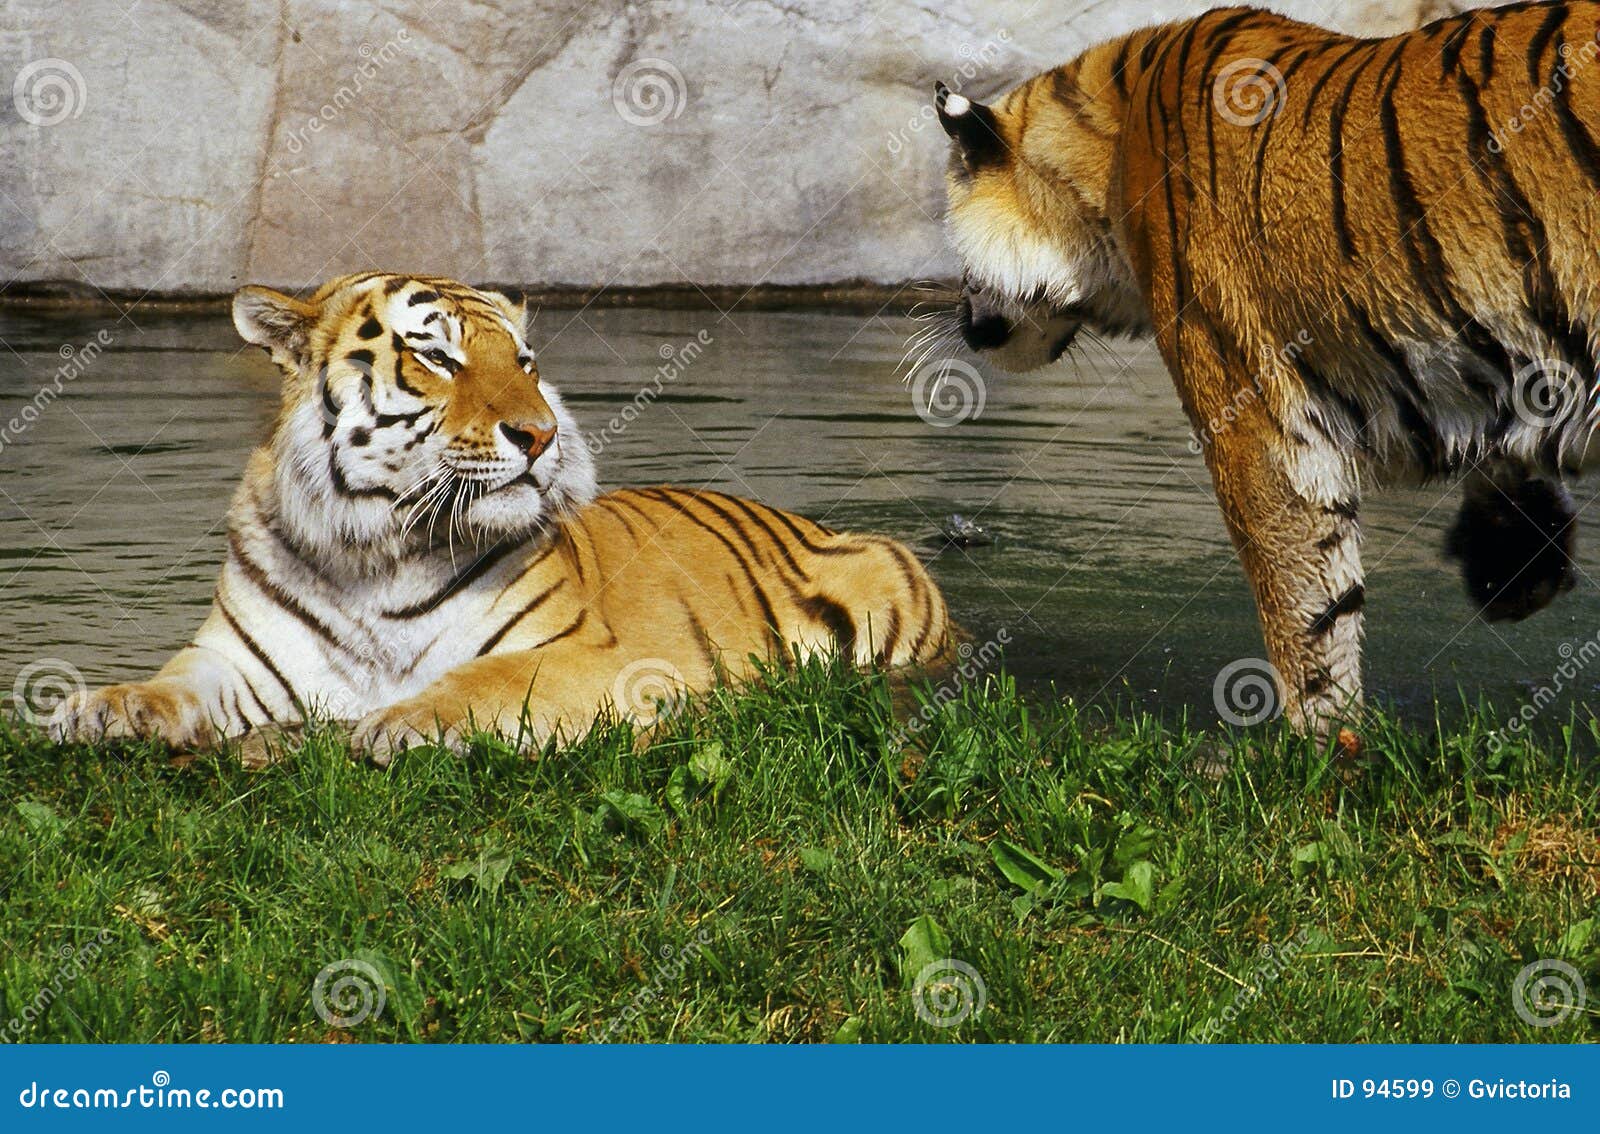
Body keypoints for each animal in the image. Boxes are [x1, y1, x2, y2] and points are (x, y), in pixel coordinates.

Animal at [47, 273, 951, 762]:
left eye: (524, 362)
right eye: (438, 356)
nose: (542, 433)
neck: (376, 551)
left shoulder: (599, 658)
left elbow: (489, 680)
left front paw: (397, 724)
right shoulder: (237, 661)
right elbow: (173, 684)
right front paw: (101, 708)